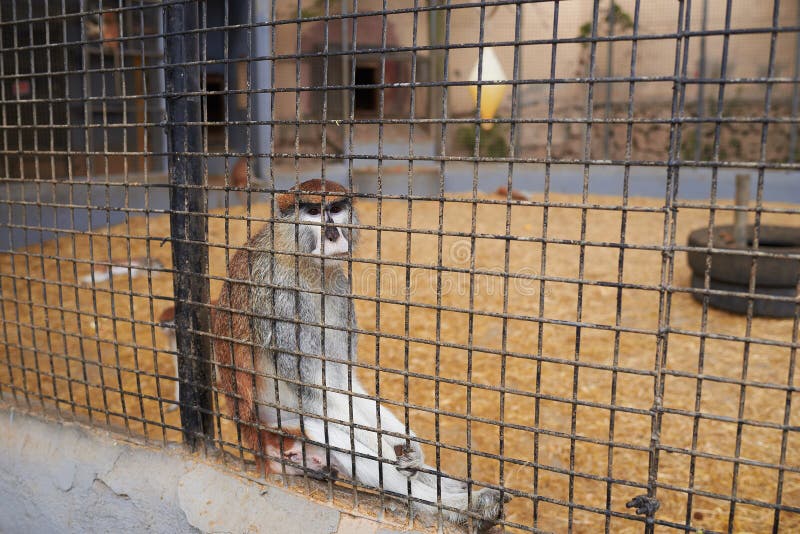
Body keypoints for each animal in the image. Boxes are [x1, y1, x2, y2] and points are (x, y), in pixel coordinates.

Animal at [210, 179, 508, 529]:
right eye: (312, 212)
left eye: (336, 209)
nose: (332, 234)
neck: (301, 262)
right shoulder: (280, 299)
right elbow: (318, 391)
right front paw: (396, 456)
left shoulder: (339, 290)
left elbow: (345, 381)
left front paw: (413, 449)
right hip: (280, 441)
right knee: (327, 430)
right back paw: (458, 505)